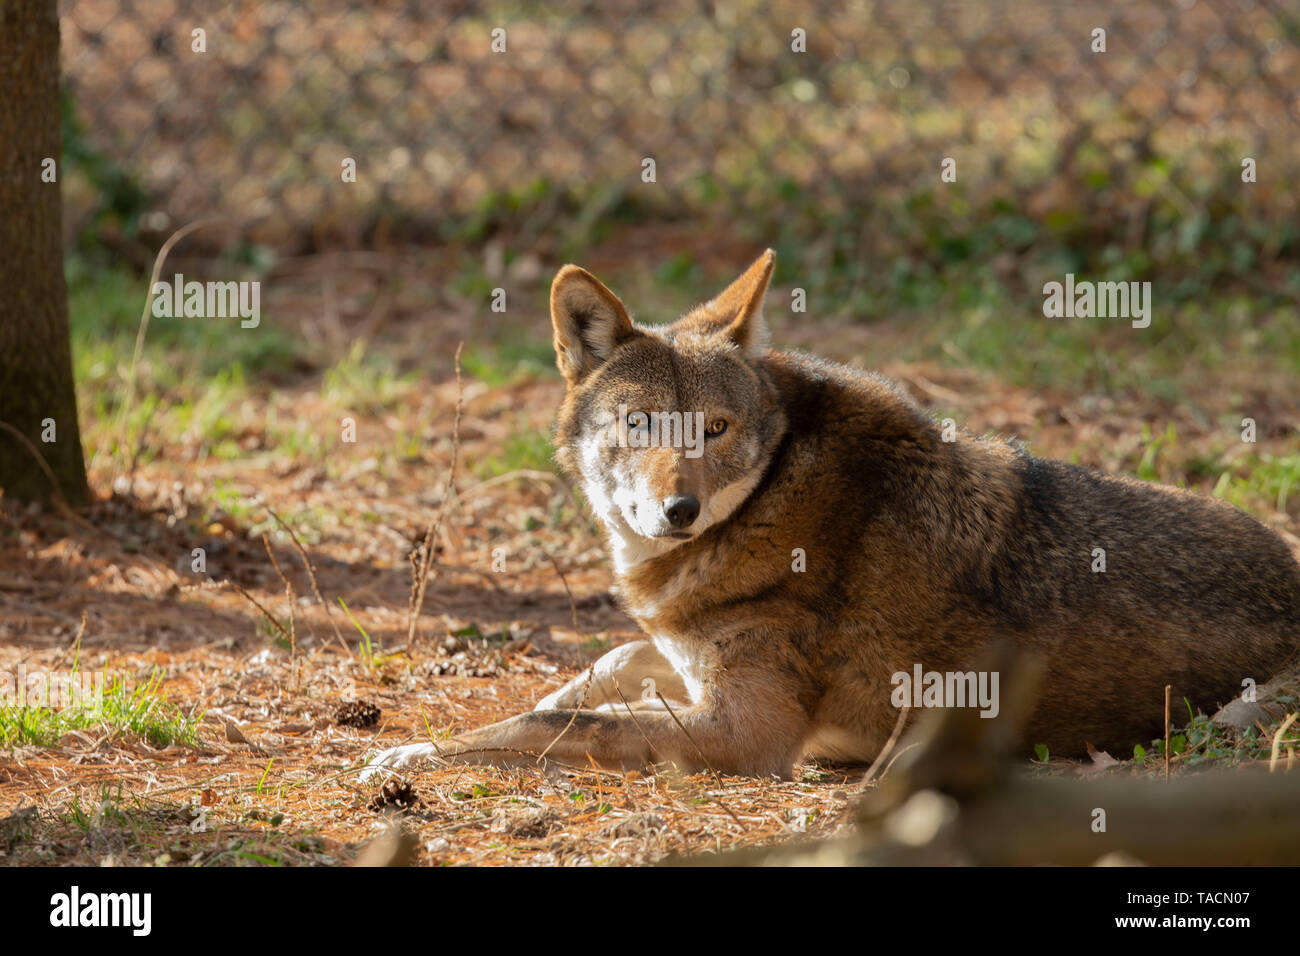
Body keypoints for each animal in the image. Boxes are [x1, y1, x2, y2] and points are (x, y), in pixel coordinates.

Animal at [366, 250, 1300, 780]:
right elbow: (606, 665)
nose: (679, 509)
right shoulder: (685, 661)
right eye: (639, 425)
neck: (771, 501)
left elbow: (564, 721)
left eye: (715, 429)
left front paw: (410, 753)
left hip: (1237, 715)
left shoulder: (744, 730)